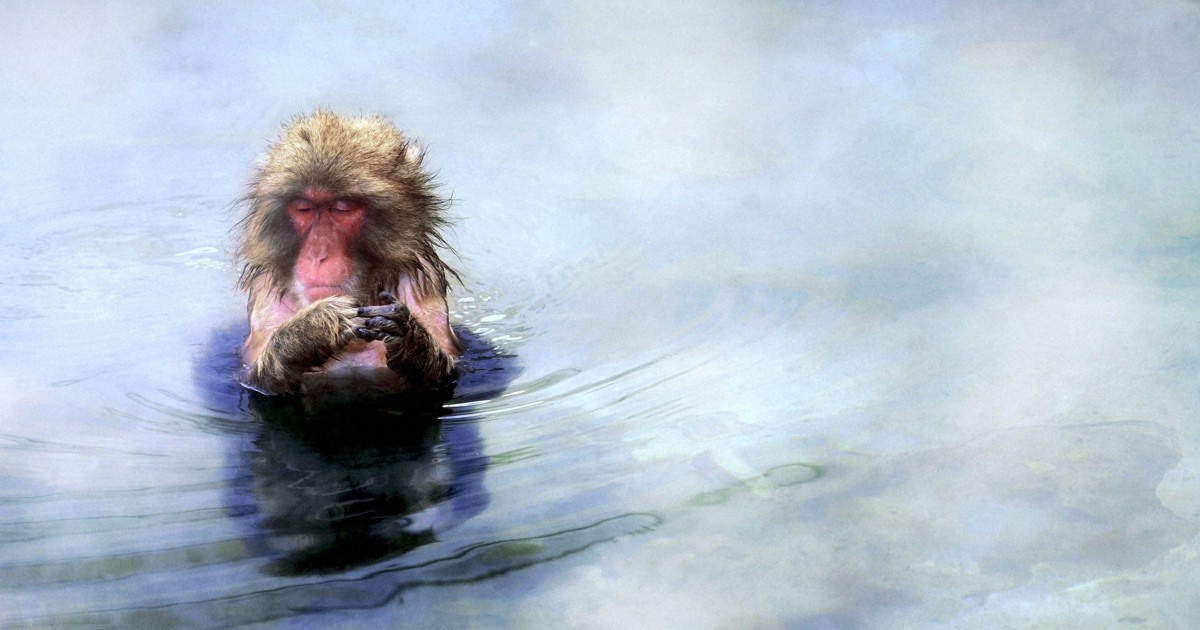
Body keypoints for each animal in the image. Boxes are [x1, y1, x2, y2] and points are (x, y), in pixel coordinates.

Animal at [235, 111, 461, 396]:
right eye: (304, 208)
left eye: (342, 207)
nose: (318, 254)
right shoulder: (265, 296)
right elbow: (256, 384)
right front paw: (315, 328)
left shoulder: (424, 282)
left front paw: (408, 336)